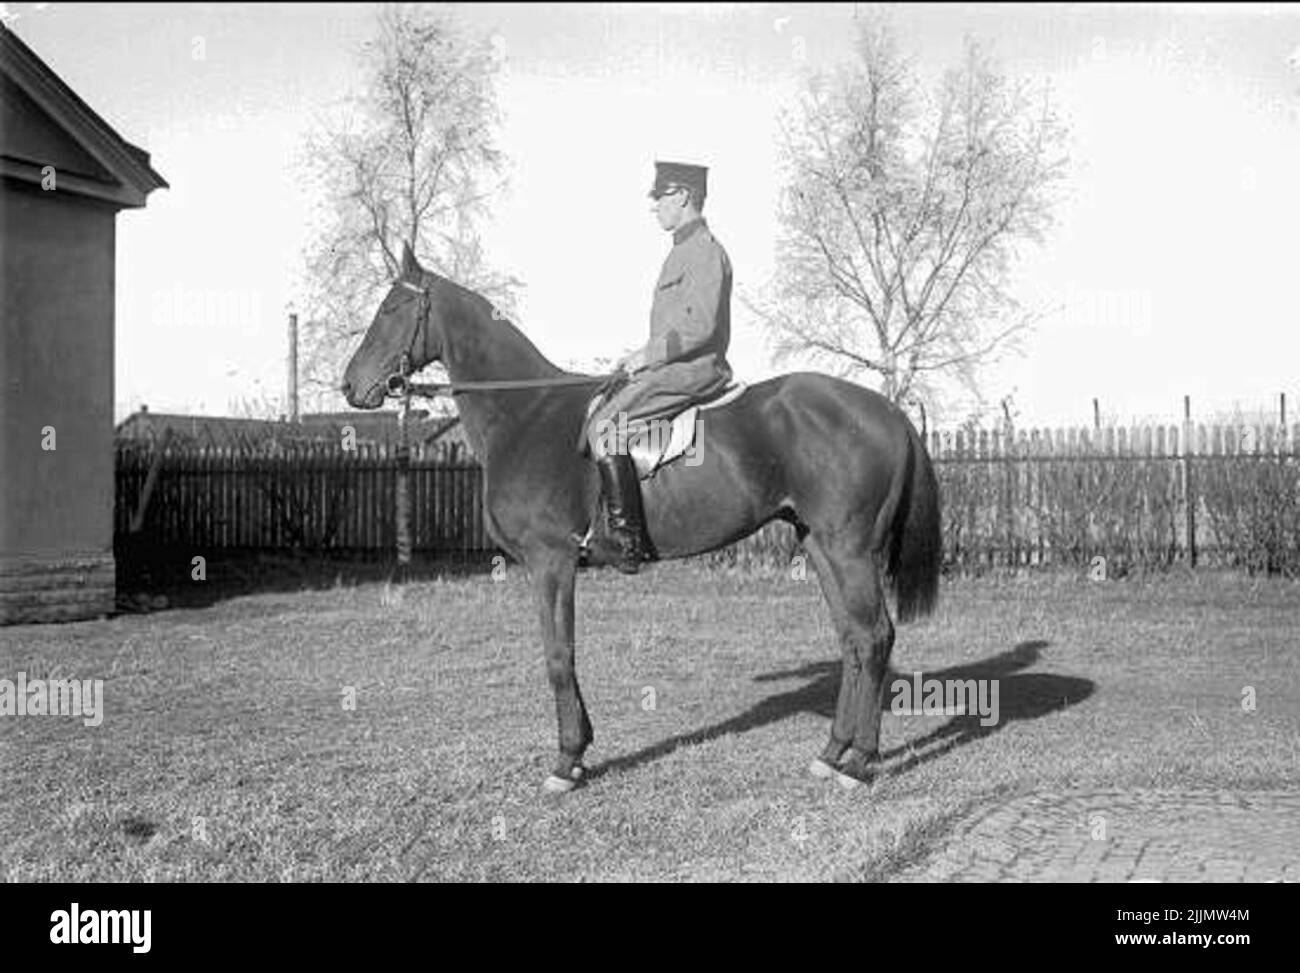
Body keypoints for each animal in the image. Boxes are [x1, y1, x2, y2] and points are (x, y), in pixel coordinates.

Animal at [341, 244, 942, 792]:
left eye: (392, 308)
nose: (350, 386)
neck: (526, 412)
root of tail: (887, 410)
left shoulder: (550, 562)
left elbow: (558, 655)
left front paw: (566, 760)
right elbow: (563, 653)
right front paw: (580, 752)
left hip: (848, 548)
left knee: (875, 636)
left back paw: (860, 762)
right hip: (819, 545)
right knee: (853, 639)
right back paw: (832, 751)